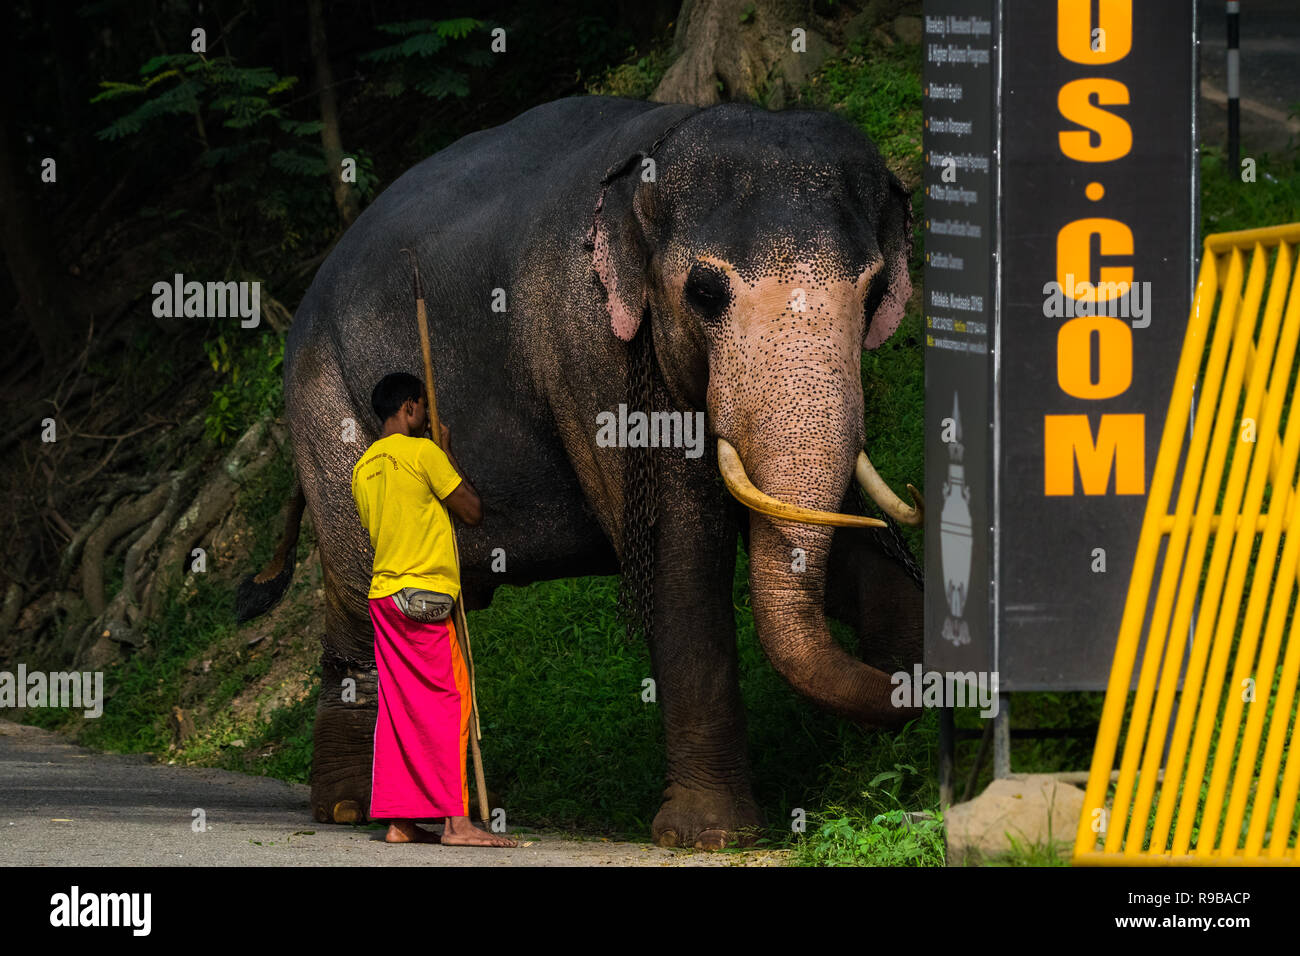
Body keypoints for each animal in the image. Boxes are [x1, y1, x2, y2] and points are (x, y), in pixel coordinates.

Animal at [240, 95, 923, 849]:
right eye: (704, 292)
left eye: (874, 293)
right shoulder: (590, 356)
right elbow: (680, 560)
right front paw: (710, 836)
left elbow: (828, 535)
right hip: (324, 407)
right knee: (358, 589)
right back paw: (362, 813)